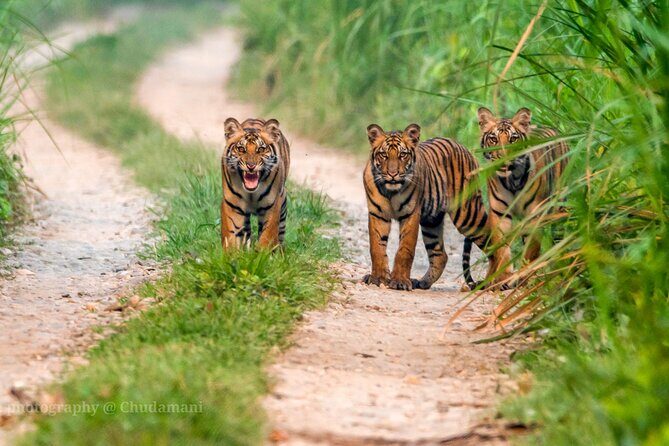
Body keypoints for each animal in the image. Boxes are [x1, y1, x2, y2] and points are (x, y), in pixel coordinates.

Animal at [221, 117, 290, 250]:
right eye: (241, 149)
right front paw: (232, 254)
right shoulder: (232, 205)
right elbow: (231, 234)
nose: (251, 166)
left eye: (261, 149)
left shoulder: (272, 206)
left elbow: (267, 235)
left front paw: (262, 254)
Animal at [362, 123, 512, 291]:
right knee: (440, 255)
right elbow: (376, 248)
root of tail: (464, 148)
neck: (391, 191)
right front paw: (378, 278)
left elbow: (405, 249)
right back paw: (422, 282)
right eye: (383, 155)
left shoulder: (411, 215)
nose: (393, 174)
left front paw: (400, 281)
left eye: (403, 155)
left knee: (495, 245)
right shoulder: (378, 214)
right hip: (431, 222)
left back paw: (495, 283)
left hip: (468, 216)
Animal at [476, 106, 569, 263]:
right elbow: (502, 251)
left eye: (513, 139)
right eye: (493, 139)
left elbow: (530, 252)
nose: (503, 157)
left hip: (559, 207)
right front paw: (504, 270)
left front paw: (527, 269)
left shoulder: (534, 216)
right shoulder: (500, 215)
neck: (512, 180)